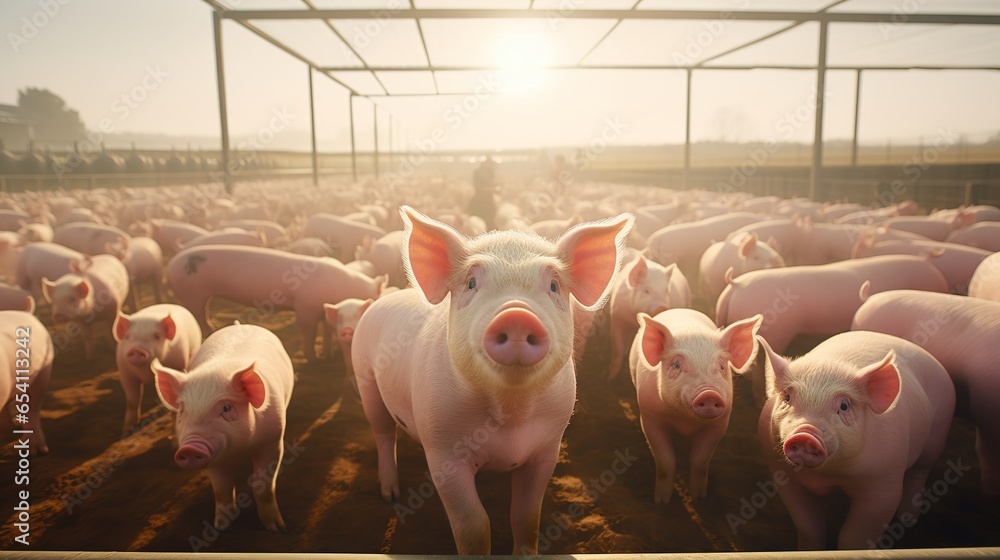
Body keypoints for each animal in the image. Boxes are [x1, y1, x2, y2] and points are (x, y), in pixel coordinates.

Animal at [152, 323, 294, 532]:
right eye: (182, 410)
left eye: (226, 408)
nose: (190, 447)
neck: (239, 451)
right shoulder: (213, 460)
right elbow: (222, 490)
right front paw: (220, 527)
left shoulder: (273, 443)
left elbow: (264, 487)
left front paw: (278, 528)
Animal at [166, 246, 387, 361]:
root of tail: (171, 265)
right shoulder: (304, 308)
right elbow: (308, 331)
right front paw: (313, 358)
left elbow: (326, 331)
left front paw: (327, 355)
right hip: (191, 294)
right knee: (199, 316)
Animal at [351, 206, 633, 554]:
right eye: (471, 282)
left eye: (554, 285)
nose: (516, 314)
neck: (511, 412)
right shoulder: (443, 453)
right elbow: (474, 525)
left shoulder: (548, 449)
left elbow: (526, 517)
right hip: (364, 377)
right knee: (382, 433)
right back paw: (390, 494)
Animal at [630, 309, 761, 503]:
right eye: (677, 365)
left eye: (722, 367)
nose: (709, 394)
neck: (686, 421)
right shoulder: (650, 418)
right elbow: (665, 463)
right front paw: (661, 501)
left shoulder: (719, 424)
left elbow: (700, 463)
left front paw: (699, 498)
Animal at [758, 331, 955, 549]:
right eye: (787, 397)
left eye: (844, 406)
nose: (805, 434)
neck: (827, 475)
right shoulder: (783, 474)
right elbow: (810, 528)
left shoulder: (884, 484)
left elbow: (853, 538)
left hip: (938, 432)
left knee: (920, 471)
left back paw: (908, 518)